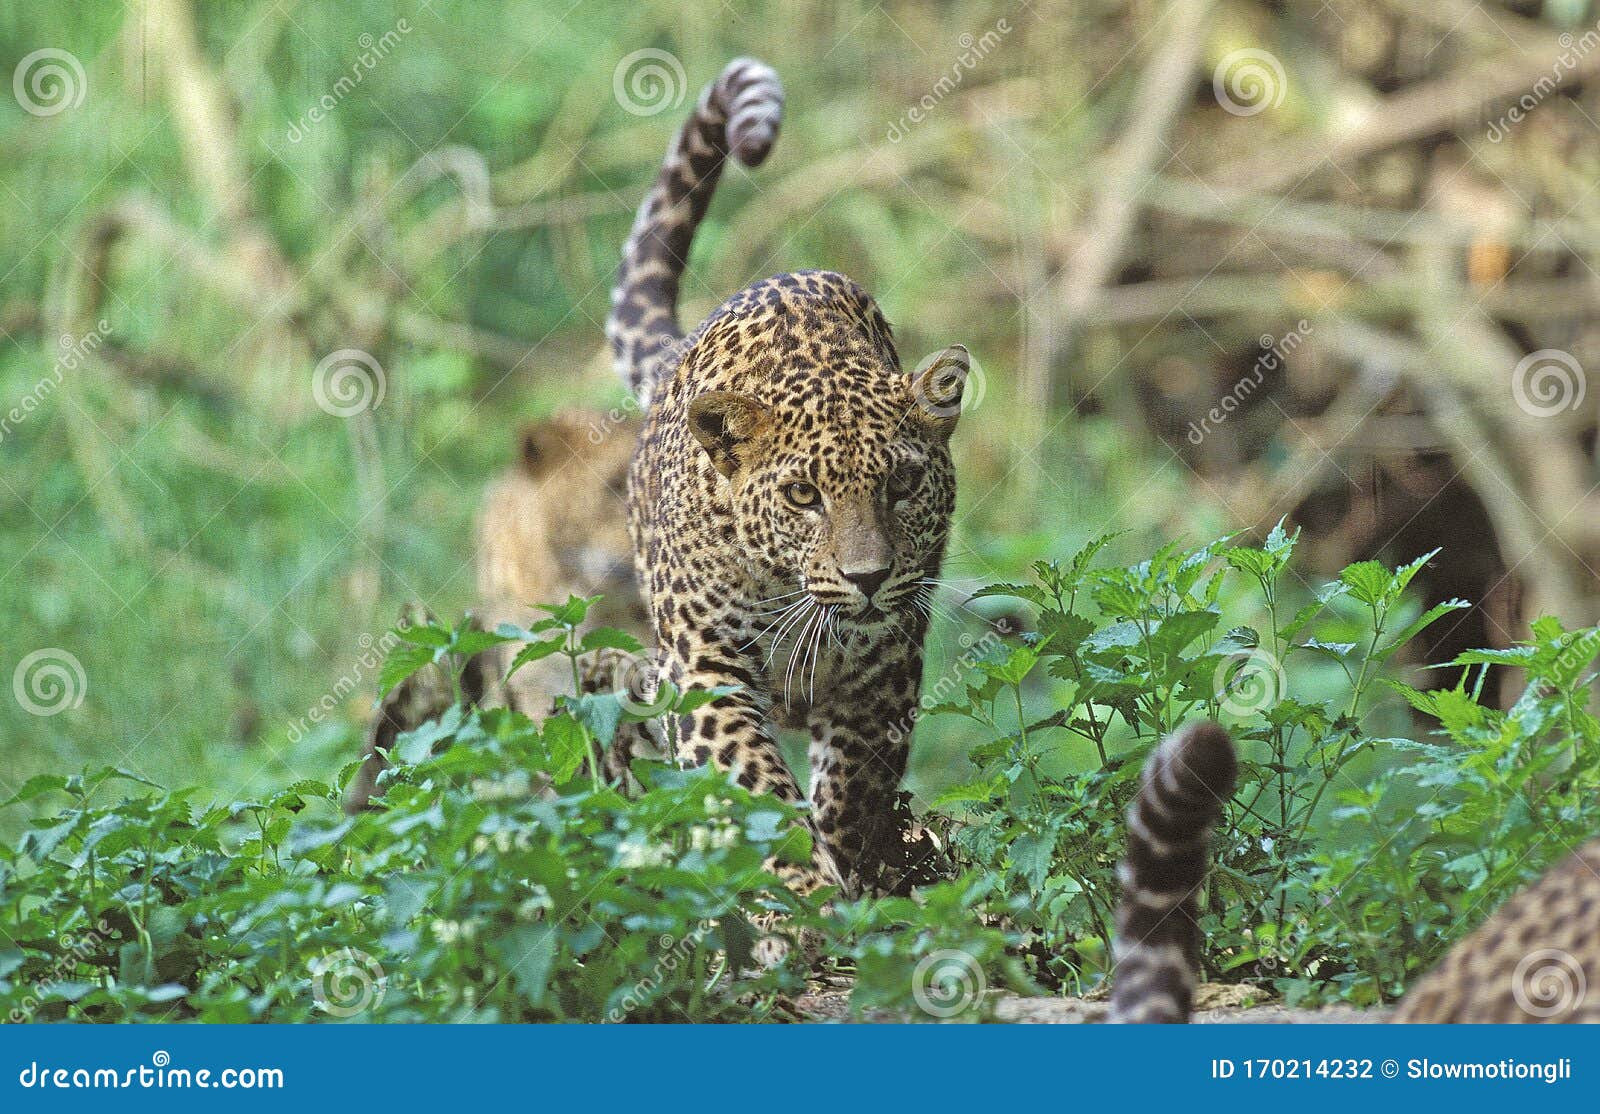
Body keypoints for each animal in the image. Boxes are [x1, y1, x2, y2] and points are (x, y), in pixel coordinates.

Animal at [606, 56, 970, 896]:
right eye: (804, 496)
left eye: (903, 488)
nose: (868, 577)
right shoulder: (704, 667)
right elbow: (752, 790)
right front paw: (801, 886)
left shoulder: (886, 664)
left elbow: (855, 785)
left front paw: (860, 864)